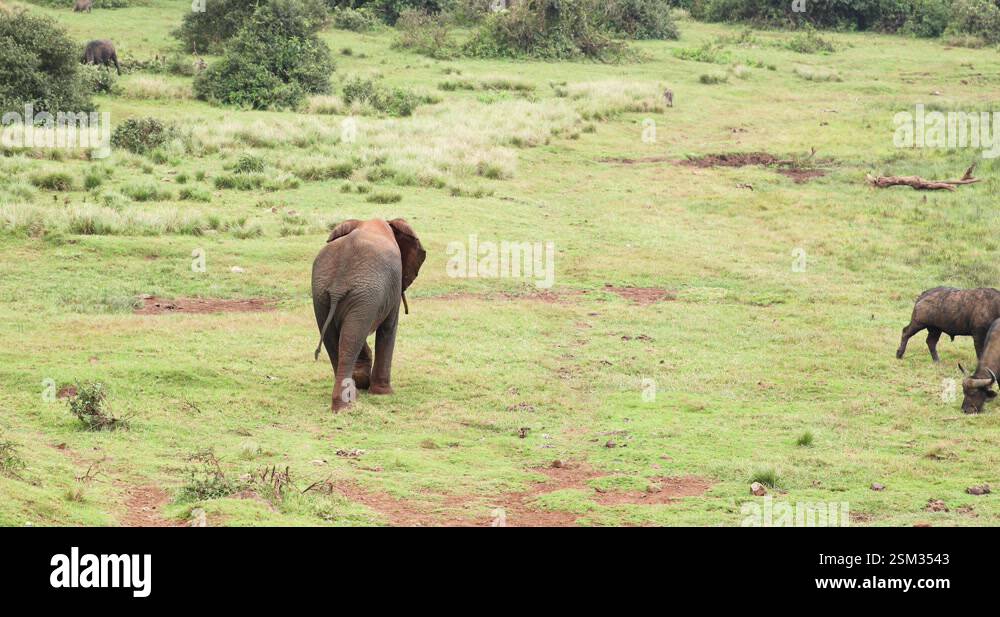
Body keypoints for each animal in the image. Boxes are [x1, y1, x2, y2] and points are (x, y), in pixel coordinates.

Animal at [312, 218, 426, 412]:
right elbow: (388, 328)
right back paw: (345, 405)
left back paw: (350, 398)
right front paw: (384, 393)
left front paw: (363, 380)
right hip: (363, 294)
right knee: (351, 338)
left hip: (322, 294)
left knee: (337, 340)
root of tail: (337, 286)